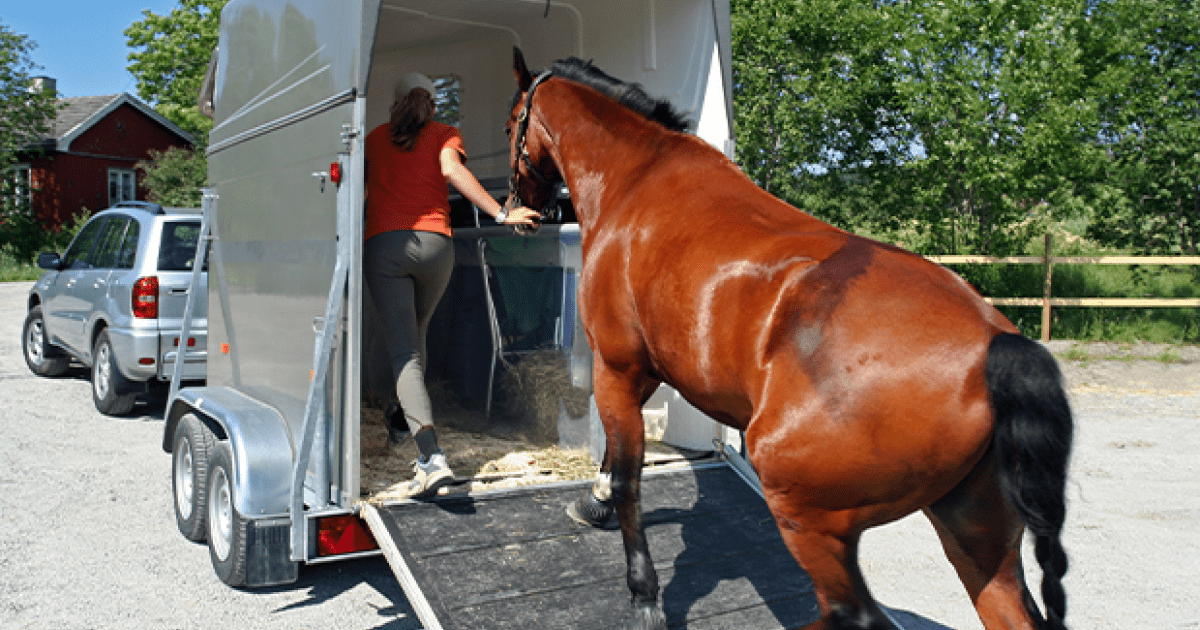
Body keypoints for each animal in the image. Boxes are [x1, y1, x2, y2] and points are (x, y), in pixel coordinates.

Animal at [503, 47, 1073, 630]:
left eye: (511, 124)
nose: (518, 209)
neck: (639, 177)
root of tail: (999, 345)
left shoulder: (616, 366)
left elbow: (627, 478)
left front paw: (643, 593)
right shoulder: (646, 369)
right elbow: (615, 463)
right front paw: (592, 503)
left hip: (807, 515)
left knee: (851, 613)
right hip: (977, 536)